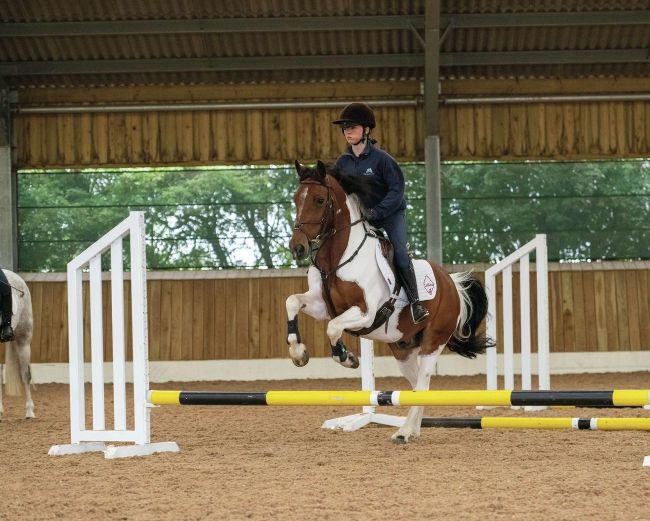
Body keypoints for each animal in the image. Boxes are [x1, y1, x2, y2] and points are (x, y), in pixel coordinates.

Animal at [285, 160, 493, 443]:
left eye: (319, 200)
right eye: (296, 199)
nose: (297, 247)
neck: (337, 258)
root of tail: (452, 283)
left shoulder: (366, 312)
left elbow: (333, 327)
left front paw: (346, 357)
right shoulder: (321, 305)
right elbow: (292, 302)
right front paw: (299, 353)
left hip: (433, 341)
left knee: (423, 384)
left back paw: (404, 432)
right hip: (403, 348)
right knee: (417, 386)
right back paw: (411, 430)